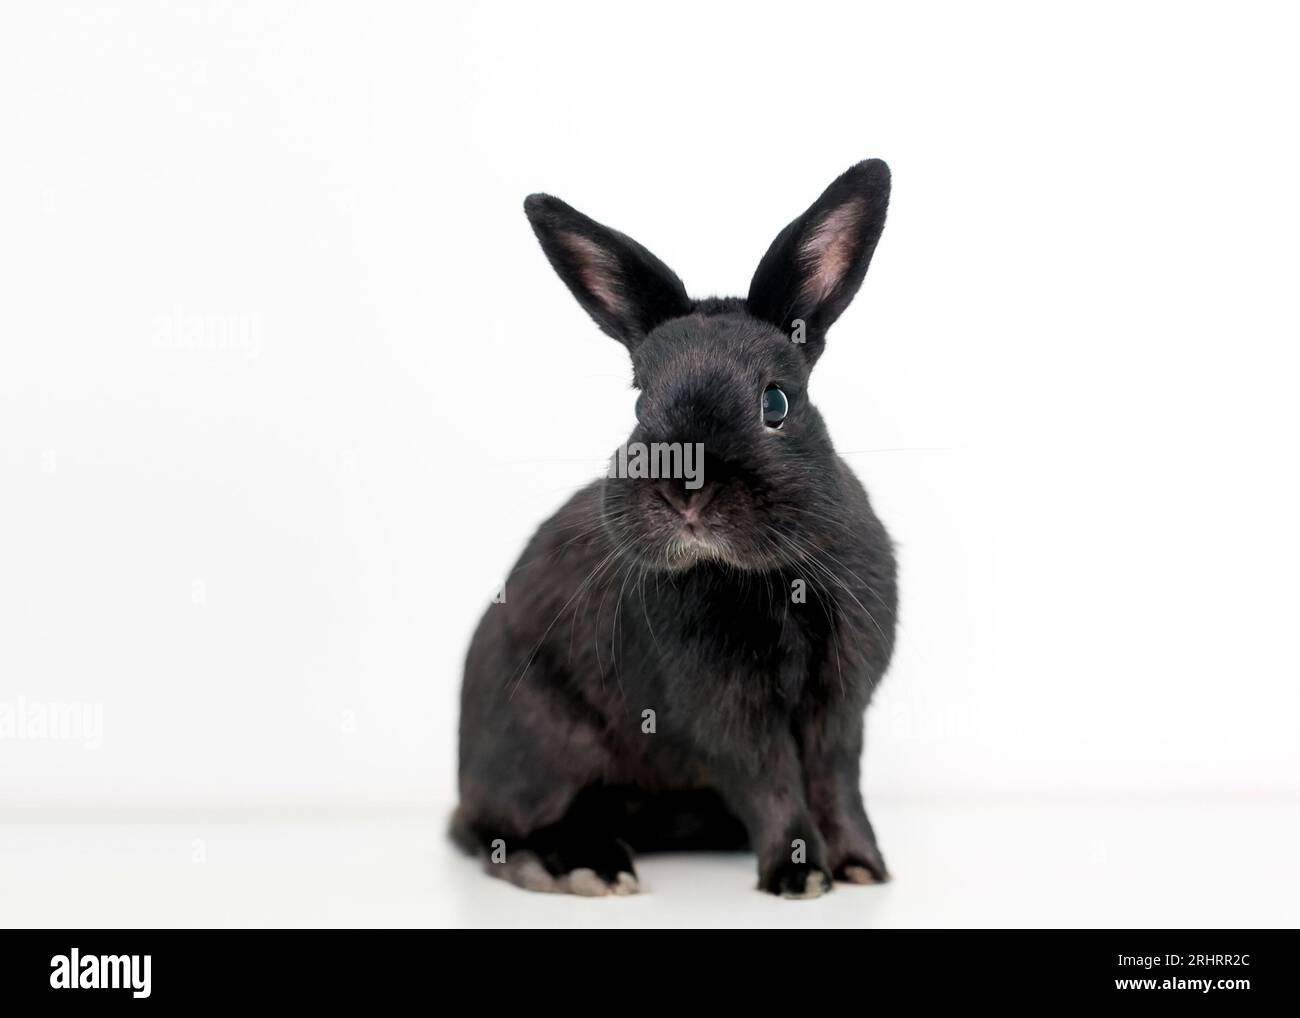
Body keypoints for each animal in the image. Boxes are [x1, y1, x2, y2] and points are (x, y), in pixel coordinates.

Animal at [451, 160, 897, 898]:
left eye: (777, 403)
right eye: (640, 402)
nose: (684, 489)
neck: (772, 577)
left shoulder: (841, 707)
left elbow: (838, 782)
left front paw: (863, 867)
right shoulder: (726, 712)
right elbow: (773, 783)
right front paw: (798, 875)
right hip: (541, 745)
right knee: (493, 829)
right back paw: (585, 866)